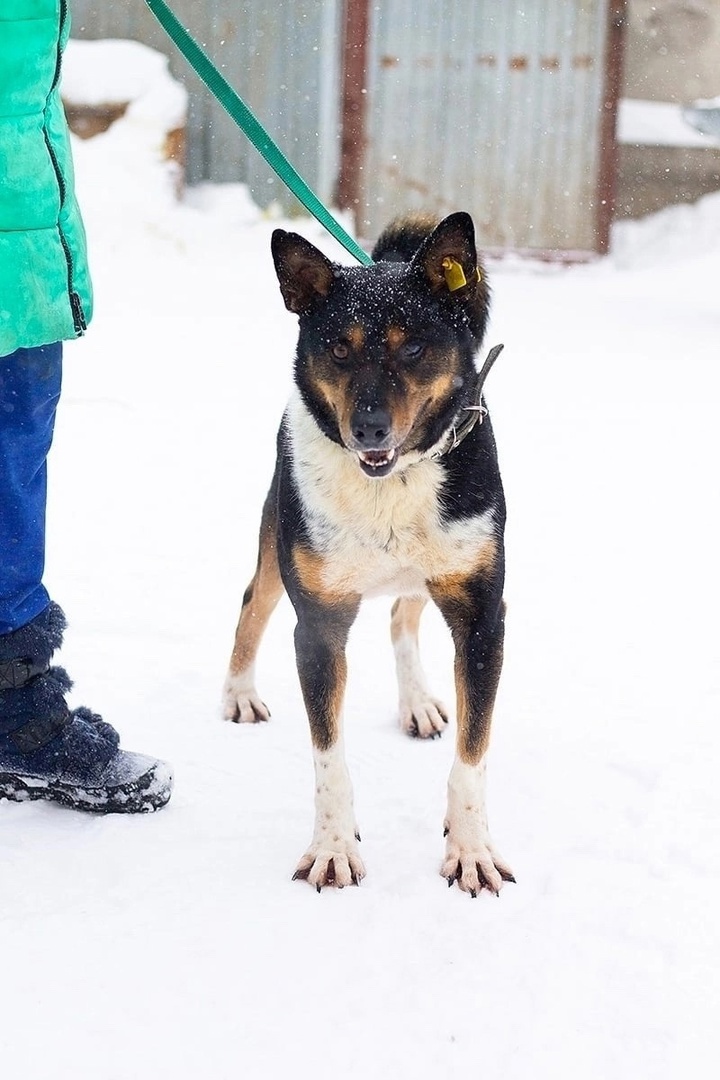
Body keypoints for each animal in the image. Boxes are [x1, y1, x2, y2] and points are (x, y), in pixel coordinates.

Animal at [222, 210, 515, 894]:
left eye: (412, 347)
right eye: (338, 348)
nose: (369, 428)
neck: (392, 480)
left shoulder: (482, 617)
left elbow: (473, 755)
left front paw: (471, 850)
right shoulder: (320, 623)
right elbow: (329, 757)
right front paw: (332, 849)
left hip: (432, 572)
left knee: (402, 614)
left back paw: (417, 702)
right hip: (279, 538)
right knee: (254, 601)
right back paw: (240, 692)